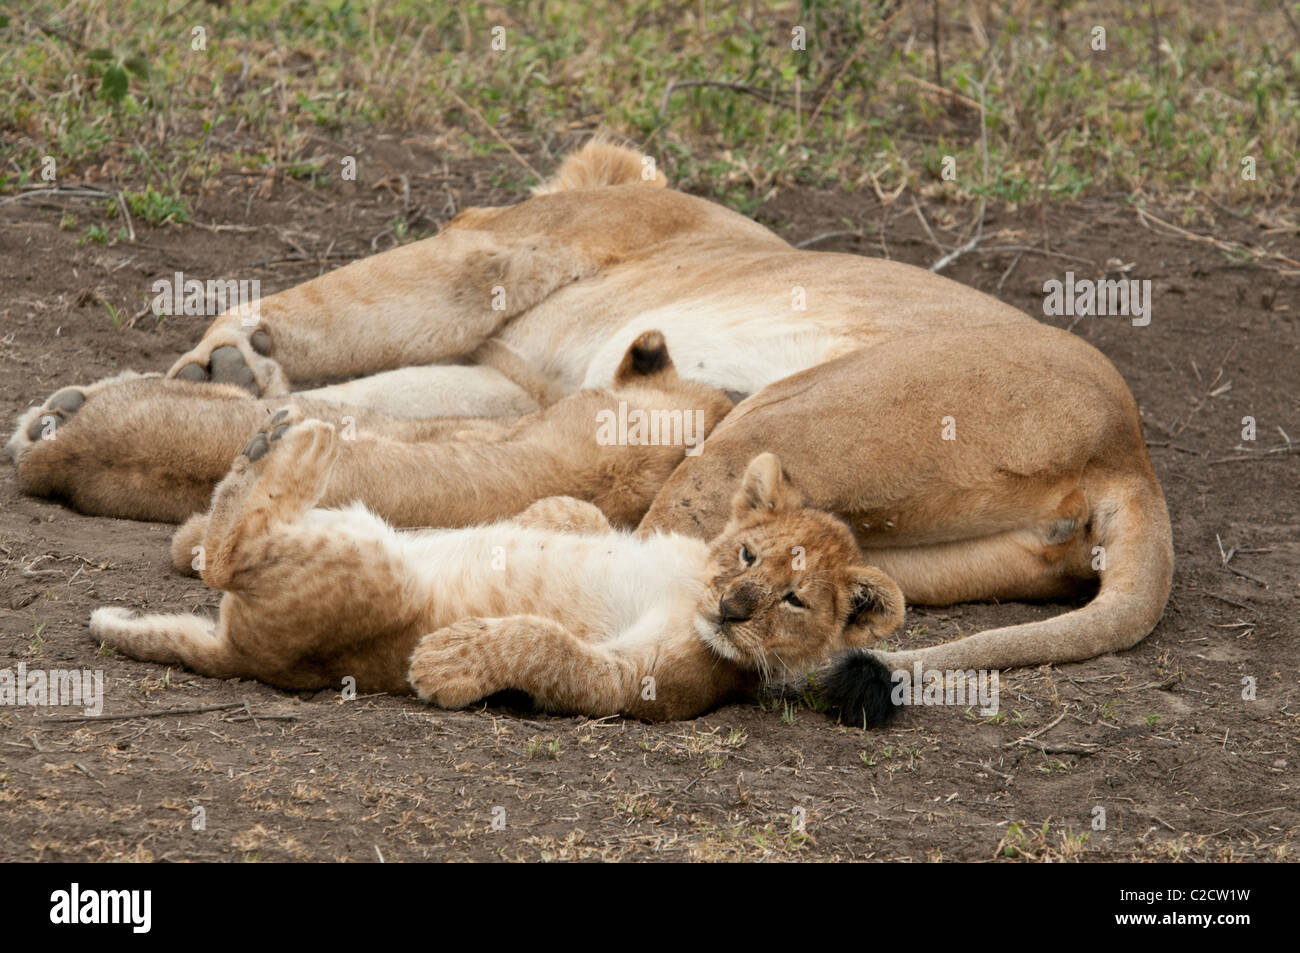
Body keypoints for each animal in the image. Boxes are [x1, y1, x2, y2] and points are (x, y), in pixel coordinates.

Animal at [89, 415, 905, 720]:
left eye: (794, 601)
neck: (688, 582)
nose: (734, 606)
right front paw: (537, 521)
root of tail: (240, 652)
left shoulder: (644, 682)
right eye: (747, 554)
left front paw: (447, 664)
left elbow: (550, 649)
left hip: (370, 568)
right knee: (222, 552)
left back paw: (294, 444)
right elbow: (571, 513)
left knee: (231, 559)